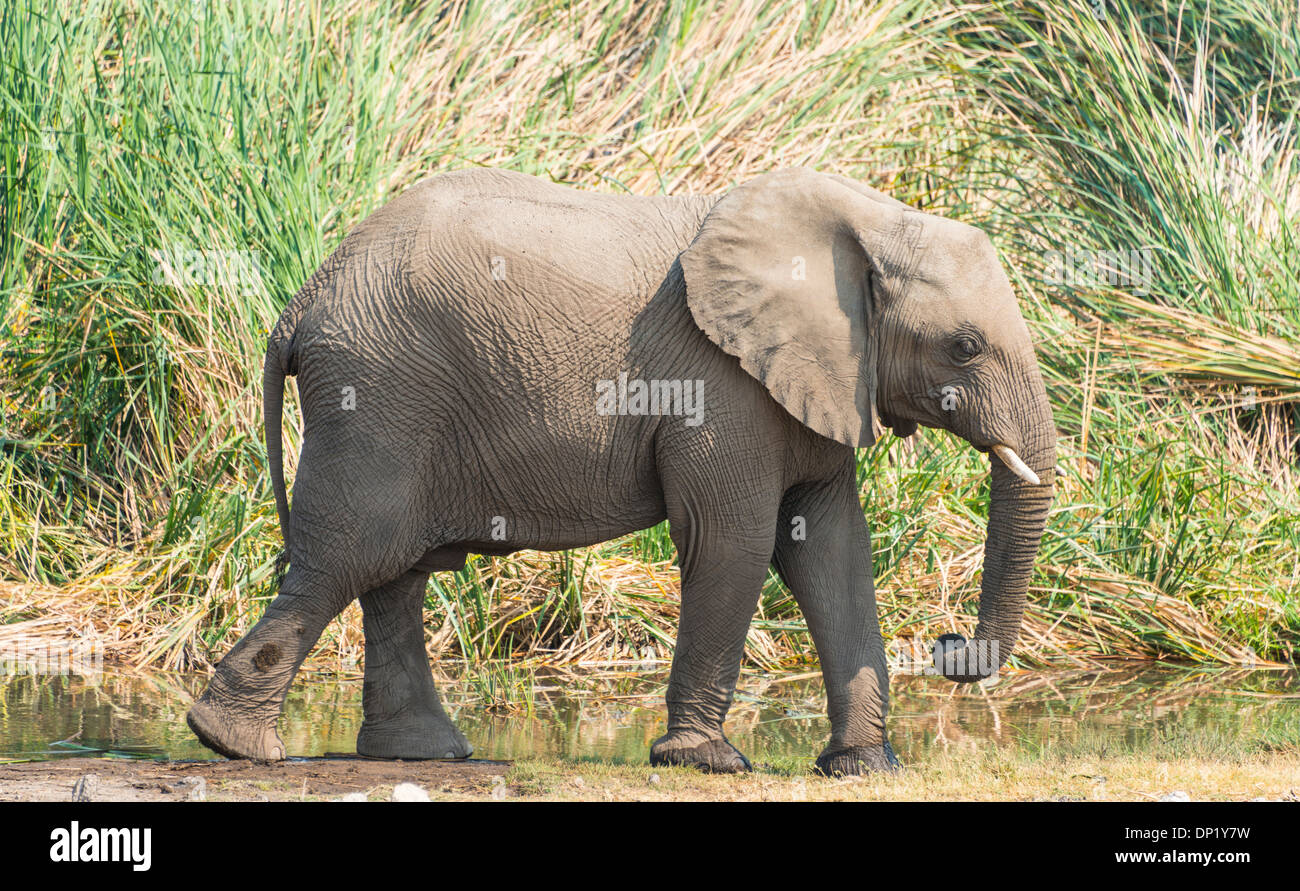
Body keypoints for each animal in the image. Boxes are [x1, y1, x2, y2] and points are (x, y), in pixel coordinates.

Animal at [186, 166, 1056, 775]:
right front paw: (707, 761)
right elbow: (736, 542)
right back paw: (234, 744)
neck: (869, 219)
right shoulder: (718, 383)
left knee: (392, 571)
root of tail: (301, 304)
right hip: (379, 392)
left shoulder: (814, 378)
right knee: (350, 555)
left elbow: (833, 551)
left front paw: (865, 766)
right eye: (964, 347)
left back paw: (419, 753)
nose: (946, 644)